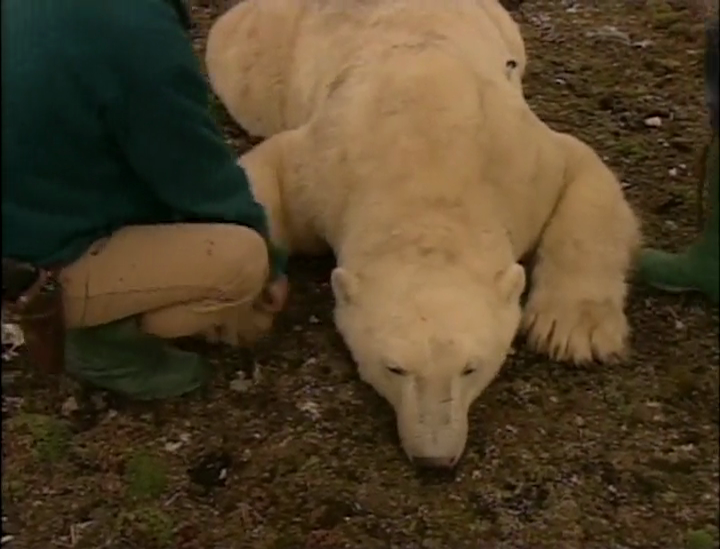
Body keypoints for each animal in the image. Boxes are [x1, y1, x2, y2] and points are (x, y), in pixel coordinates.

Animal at [205, 0, 641, 469]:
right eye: (394, 368)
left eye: (472, 367)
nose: (435, 459)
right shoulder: (325, 168)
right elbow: (261, 178)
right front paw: (238, 311)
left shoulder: (521, 163)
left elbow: (581, 168)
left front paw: (572, 332)